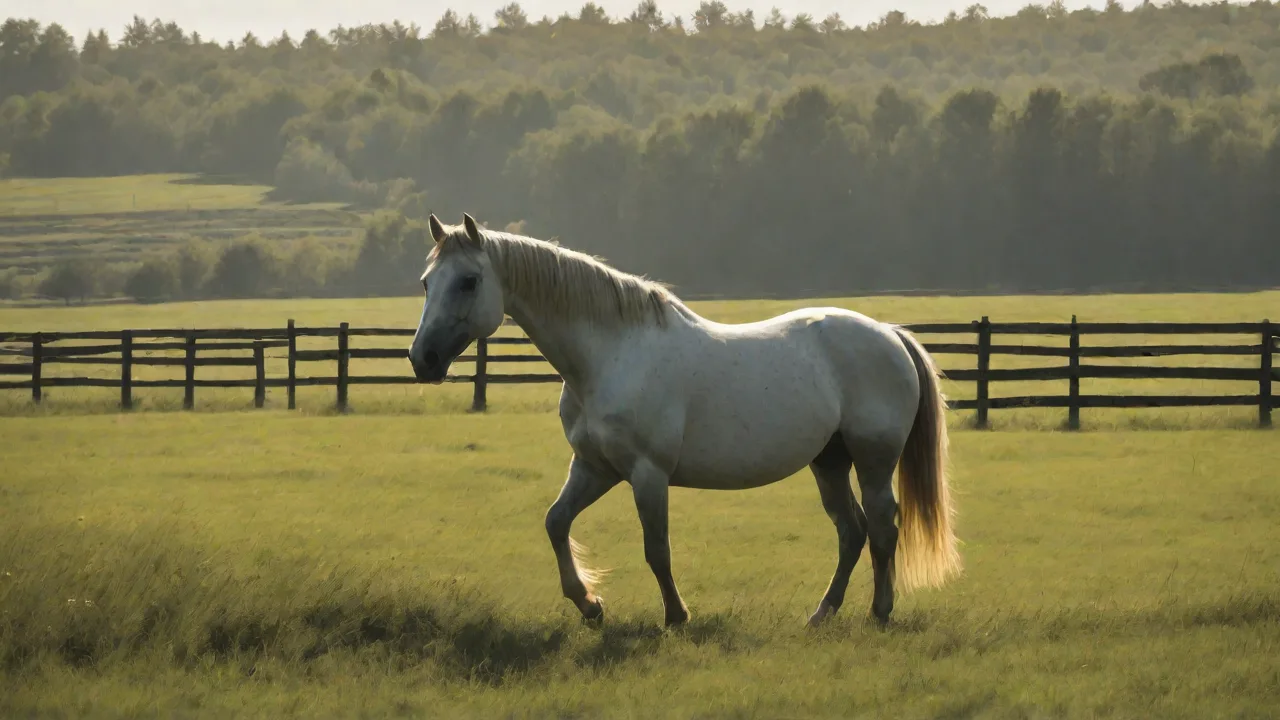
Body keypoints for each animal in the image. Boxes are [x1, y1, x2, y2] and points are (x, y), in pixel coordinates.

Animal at [408, 213, 961, 628]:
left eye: (469, 281)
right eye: (427, 282)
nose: (423, 359)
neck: (611, 354)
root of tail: (888, 333)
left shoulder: (647, 474)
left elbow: (657, 548)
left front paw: (676, 617)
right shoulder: (595, 468)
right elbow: (555, 522)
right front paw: (589, 605)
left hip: (872, 461)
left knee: (883, 527)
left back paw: (879, 613)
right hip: (829, 462)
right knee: (852, 531)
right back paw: (821, 615)